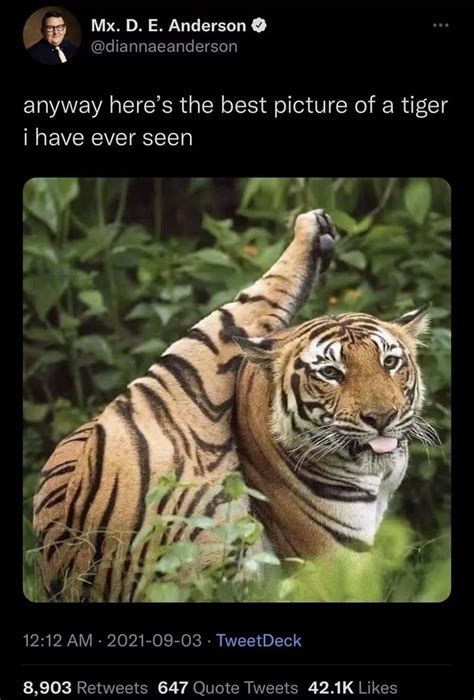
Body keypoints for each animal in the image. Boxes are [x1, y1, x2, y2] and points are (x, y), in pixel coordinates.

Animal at [32, 209, 434, 602]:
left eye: (390, 362)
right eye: (331, 372)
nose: (382, 417)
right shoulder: (333, 564)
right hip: (189, 368)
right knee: (240, 309)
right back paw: (311, 226)